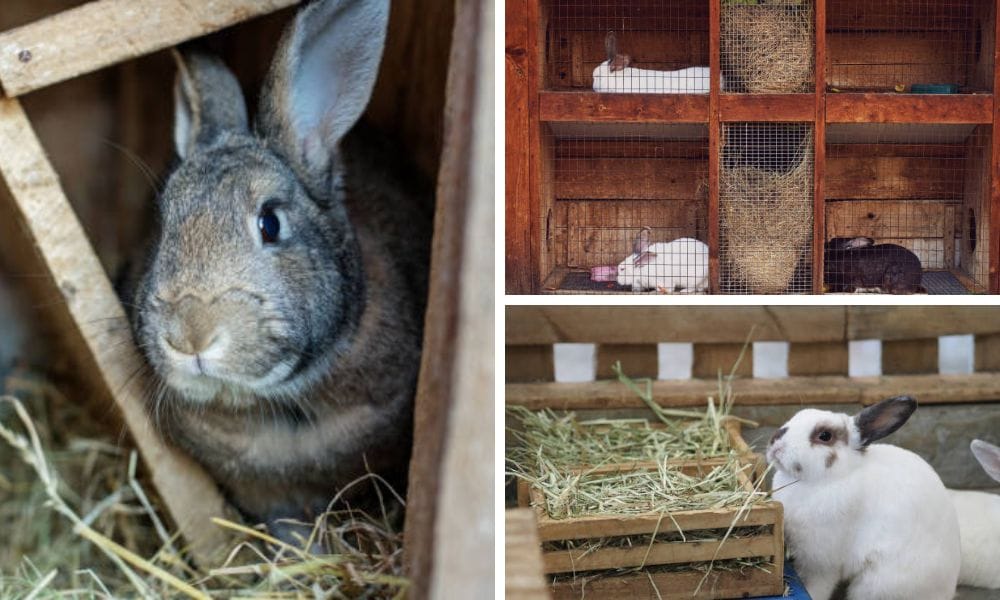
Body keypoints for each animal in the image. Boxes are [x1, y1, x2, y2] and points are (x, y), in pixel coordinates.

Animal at [766, 397, 961, 600]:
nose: (775, 442)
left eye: (825, 436)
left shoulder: (821, 562)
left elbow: (815, 587)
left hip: (874, 586)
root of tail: (947, 590)